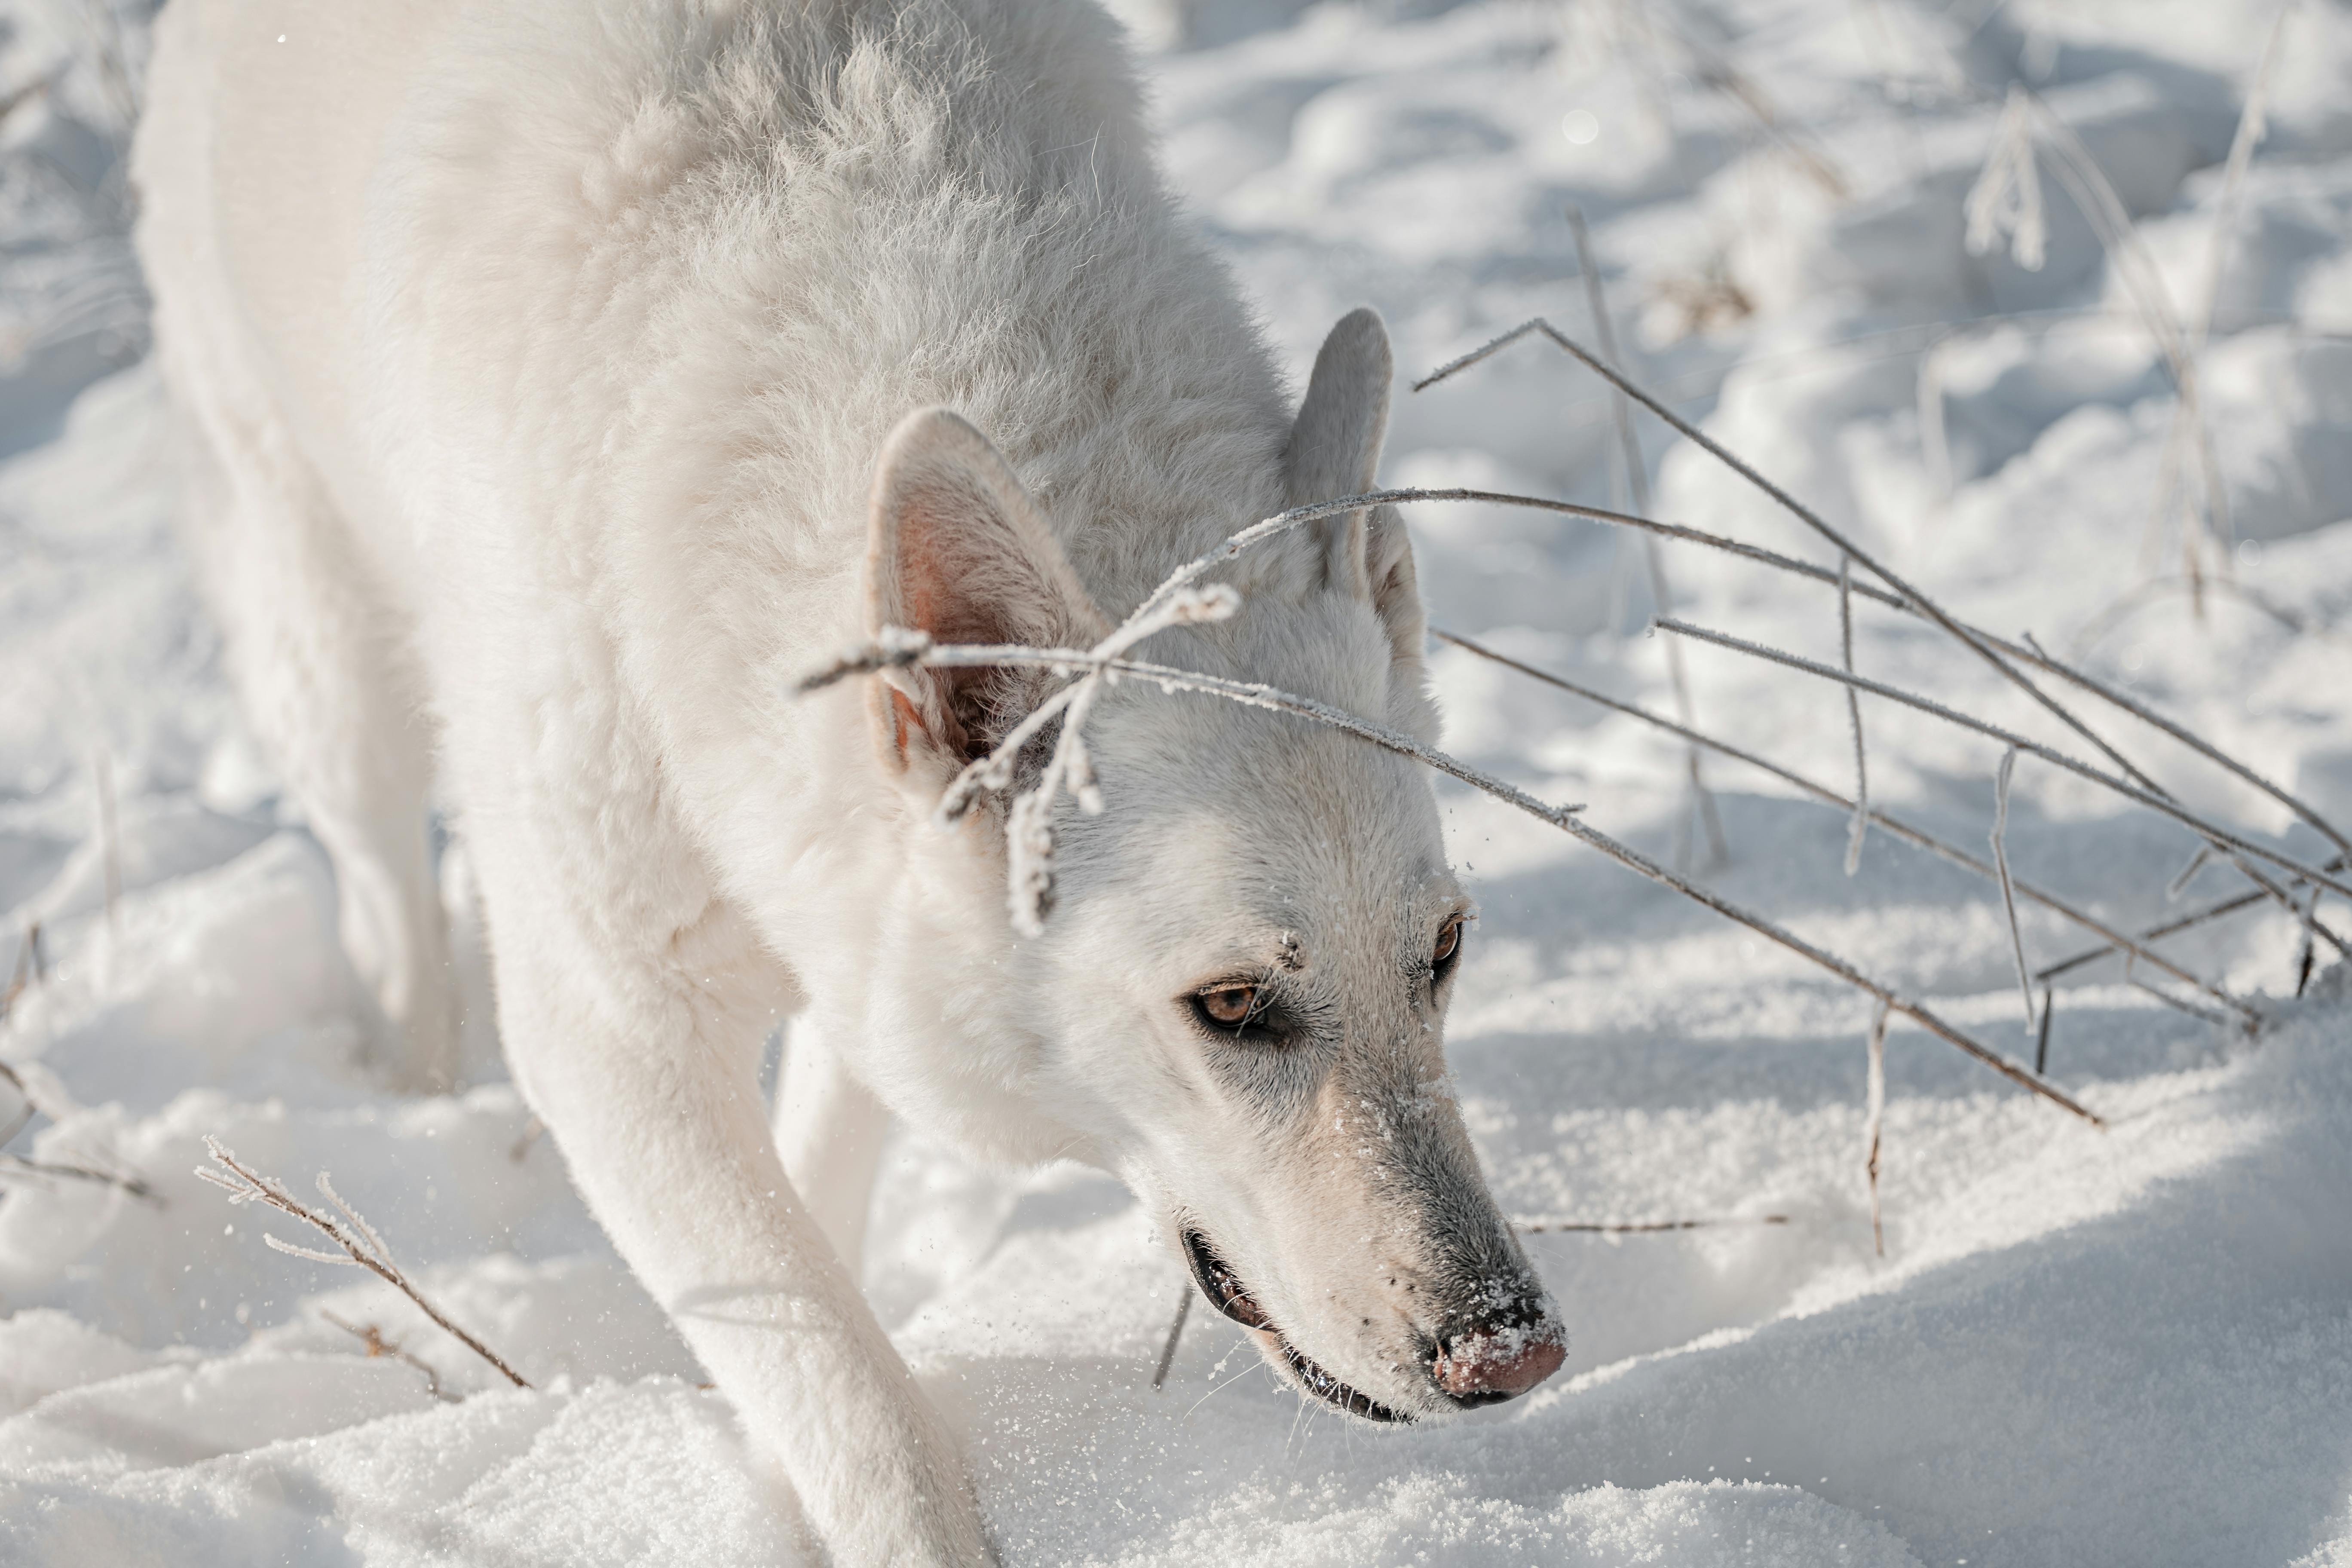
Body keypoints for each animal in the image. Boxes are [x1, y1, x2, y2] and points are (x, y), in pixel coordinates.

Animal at [133, 0, 1566, 1560]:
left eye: (1444, 951)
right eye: (1235, 1004)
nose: (1516, 1353)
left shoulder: (856, 926)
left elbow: (821, 1217)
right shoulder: (611, 1031)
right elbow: (850, 1388)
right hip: (324, 633)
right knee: (384, 873)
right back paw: (410, 1082)